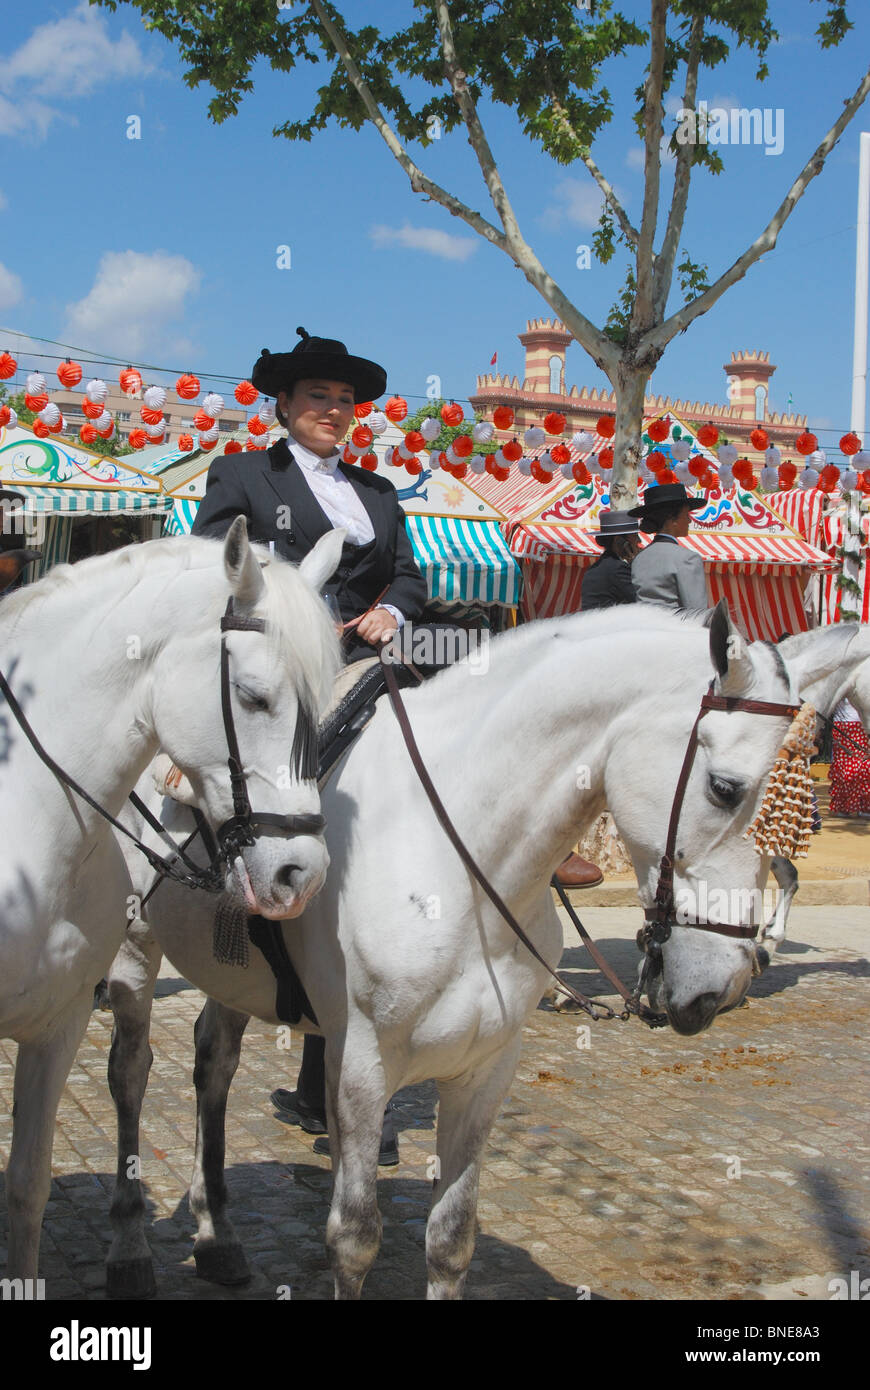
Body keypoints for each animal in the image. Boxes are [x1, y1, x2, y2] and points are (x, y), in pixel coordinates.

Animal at [104, 601, 861, 1300]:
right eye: (725, 789)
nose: (724, 987)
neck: (459, 864)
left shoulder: (487, 1067)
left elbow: (451, 1239)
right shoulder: (361, 1068)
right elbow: (353, 1238)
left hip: (230, 974)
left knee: (213, 1065)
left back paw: (217, 1237)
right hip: (131, 953)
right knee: (131, 1075)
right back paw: (133, 1252)